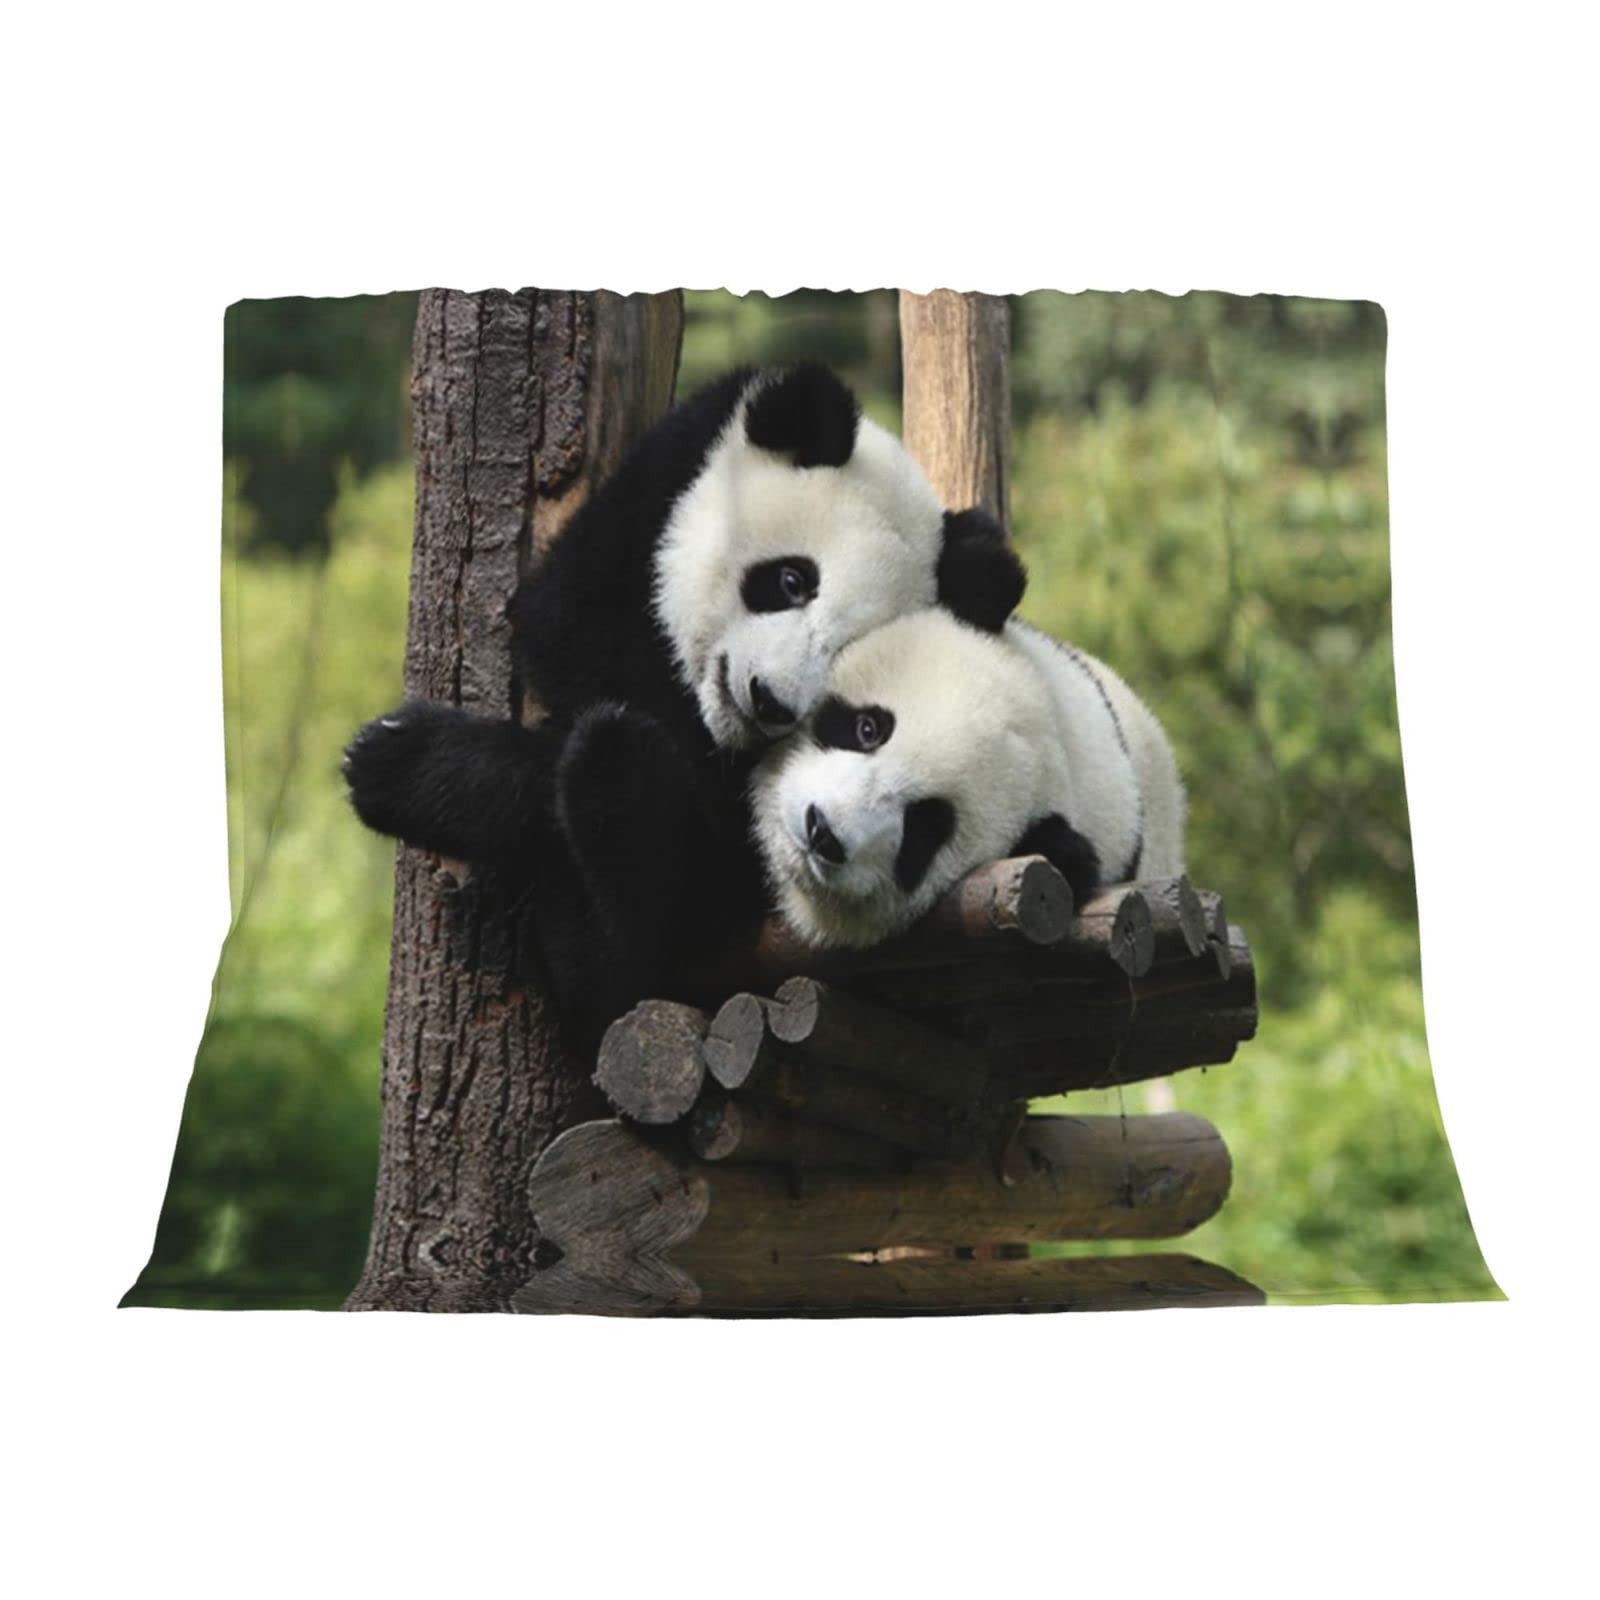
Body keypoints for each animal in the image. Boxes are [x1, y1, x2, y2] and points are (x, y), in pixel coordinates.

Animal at [344, 363, 1025, 1041]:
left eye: (845, 651)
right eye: (792, 580)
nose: (769, 701)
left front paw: (403, 765)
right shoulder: (661, 483)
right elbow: (561, 627)